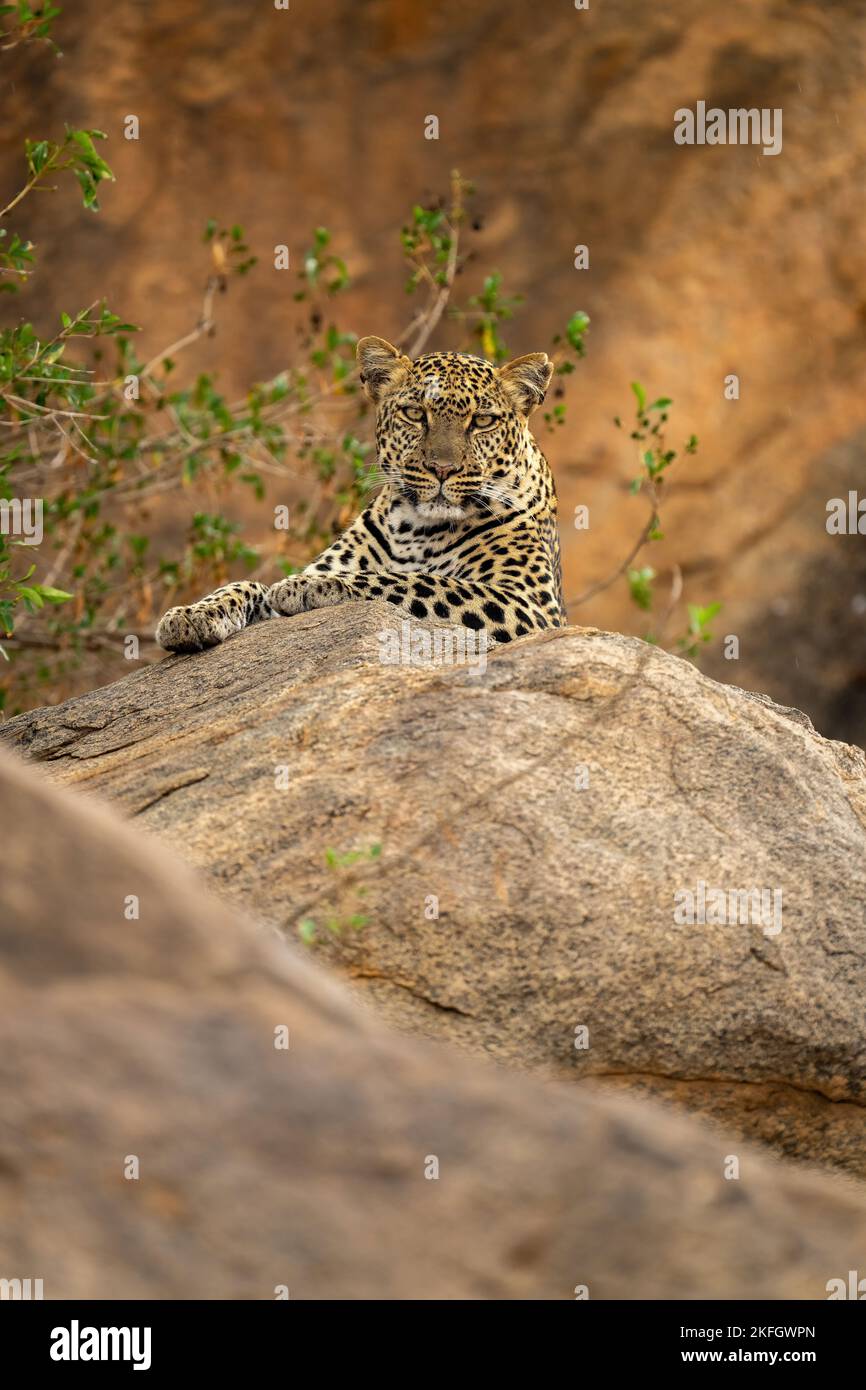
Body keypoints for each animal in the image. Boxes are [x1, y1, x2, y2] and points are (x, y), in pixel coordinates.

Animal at [155, 336, 566, 655]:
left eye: (482, 421)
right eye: (414, 413)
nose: (442, 469)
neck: (416, 528)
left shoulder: (531, 605)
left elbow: (415, 581)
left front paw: (309, 587)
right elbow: (251, 585)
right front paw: (191, 615)